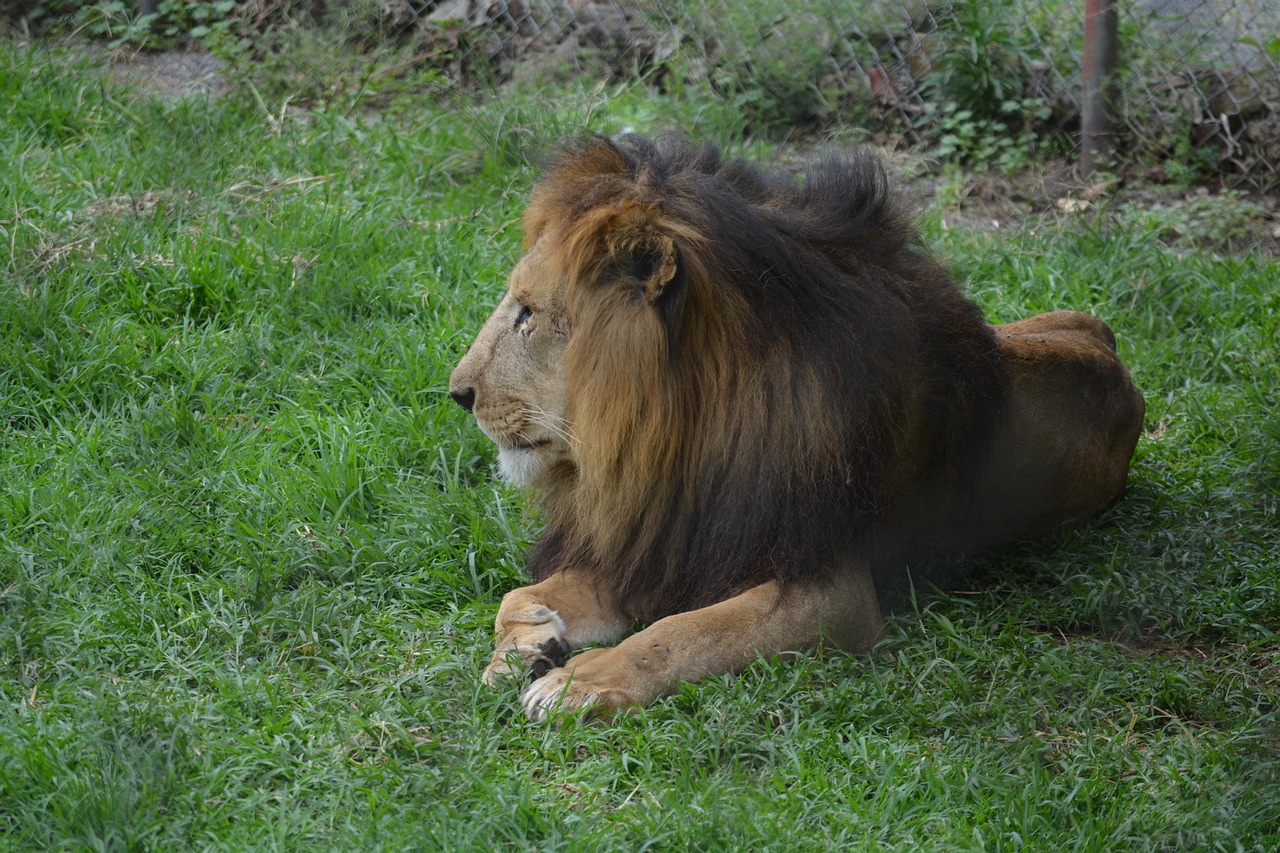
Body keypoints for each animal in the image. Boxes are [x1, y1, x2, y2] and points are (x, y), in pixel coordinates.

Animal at [449, 134, 1145, 721]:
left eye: (528, 314)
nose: (458, 393)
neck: (682, 436)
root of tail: (1112, 349)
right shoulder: (659, 545)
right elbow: (520, 594)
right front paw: (527, 647)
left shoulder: (831, 589)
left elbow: (684, 632)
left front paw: (581, 681)